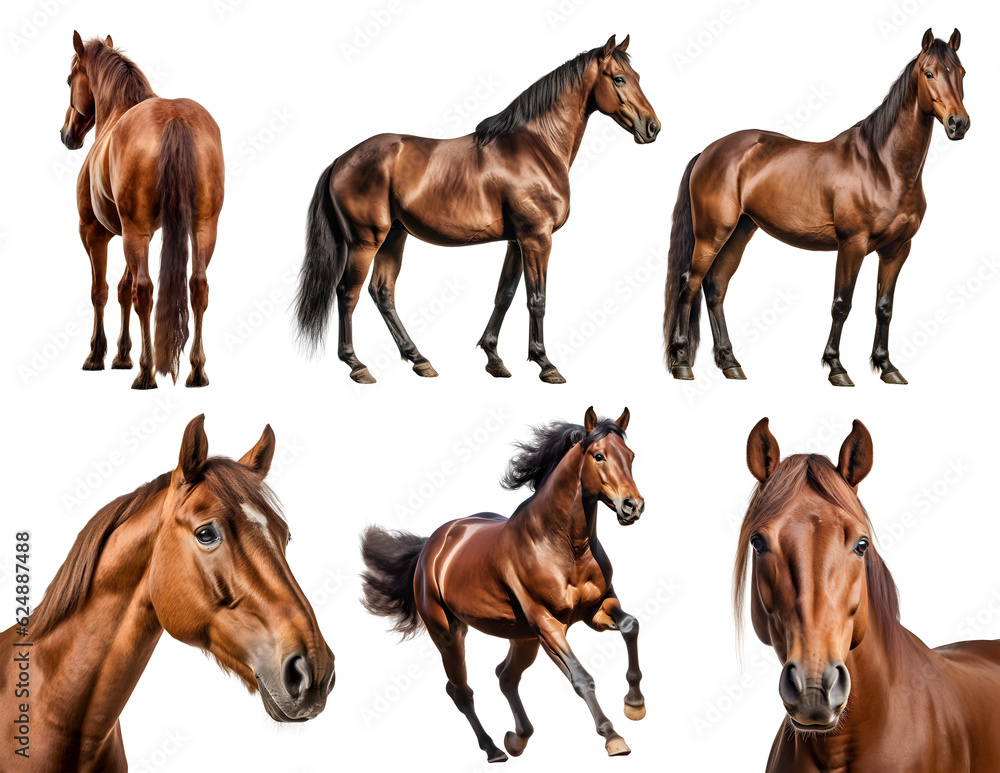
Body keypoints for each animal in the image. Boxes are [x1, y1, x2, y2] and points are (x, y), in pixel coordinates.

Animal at [61, 32, 225, 390]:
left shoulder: (96, 233)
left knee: (145, 291)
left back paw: (147, 371)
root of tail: (175, 117)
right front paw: (122, 354)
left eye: (69, 80)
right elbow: (123, 290)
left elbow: (101, 291)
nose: (66, 135)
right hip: (202, 228)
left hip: (131, 233)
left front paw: (97, 354)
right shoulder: (140, 232)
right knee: (198, 286)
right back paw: (196, 370)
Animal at [295, 35, 659, 384]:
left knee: (382, 292)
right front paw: (545, 364)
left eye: (638, 77)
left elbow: (505, 295)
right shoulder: (537, 238)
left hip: (394, 236)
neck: (536, 147)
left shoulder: (516, 241)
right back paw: (357, 365)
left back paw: (419, 360)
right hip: (366, 241)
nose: (652, 127)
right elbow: (537, 299)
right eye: (619, 78)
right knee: (348, 293)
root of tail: (341, 160)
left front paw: (494, 358)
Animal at [360, 408, 645, 762]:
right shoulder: (548, 623)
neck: (565, 547)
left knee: (505, 677)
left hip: (522, 638)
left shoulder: (596, 609)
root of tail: (432, 545)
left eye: (631, 456)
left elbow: (631, 626)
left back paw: (517, 738)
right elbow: (581, 677)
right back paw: (494, 748)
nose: (633, 506)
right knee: (461, 691)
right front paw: (613, 737)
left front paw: (635, 704)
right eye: (599, 455)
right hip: (449, 634)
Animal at [664, 28, 969, 386]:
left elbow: (884, 307)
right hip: (712, 234)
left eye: (962, 73)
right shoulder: (852, 245)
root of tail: (708, 151)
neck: (883, 166)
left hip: (740, 231)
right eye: (929, 73)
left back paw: (730, 363)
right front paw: (836, 367)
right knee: (689, 285)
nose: (959, 123)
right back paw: (682, 363)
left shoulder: (897, 249)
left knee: (715, 288)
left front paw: (887, 367)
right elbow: (842, 304)